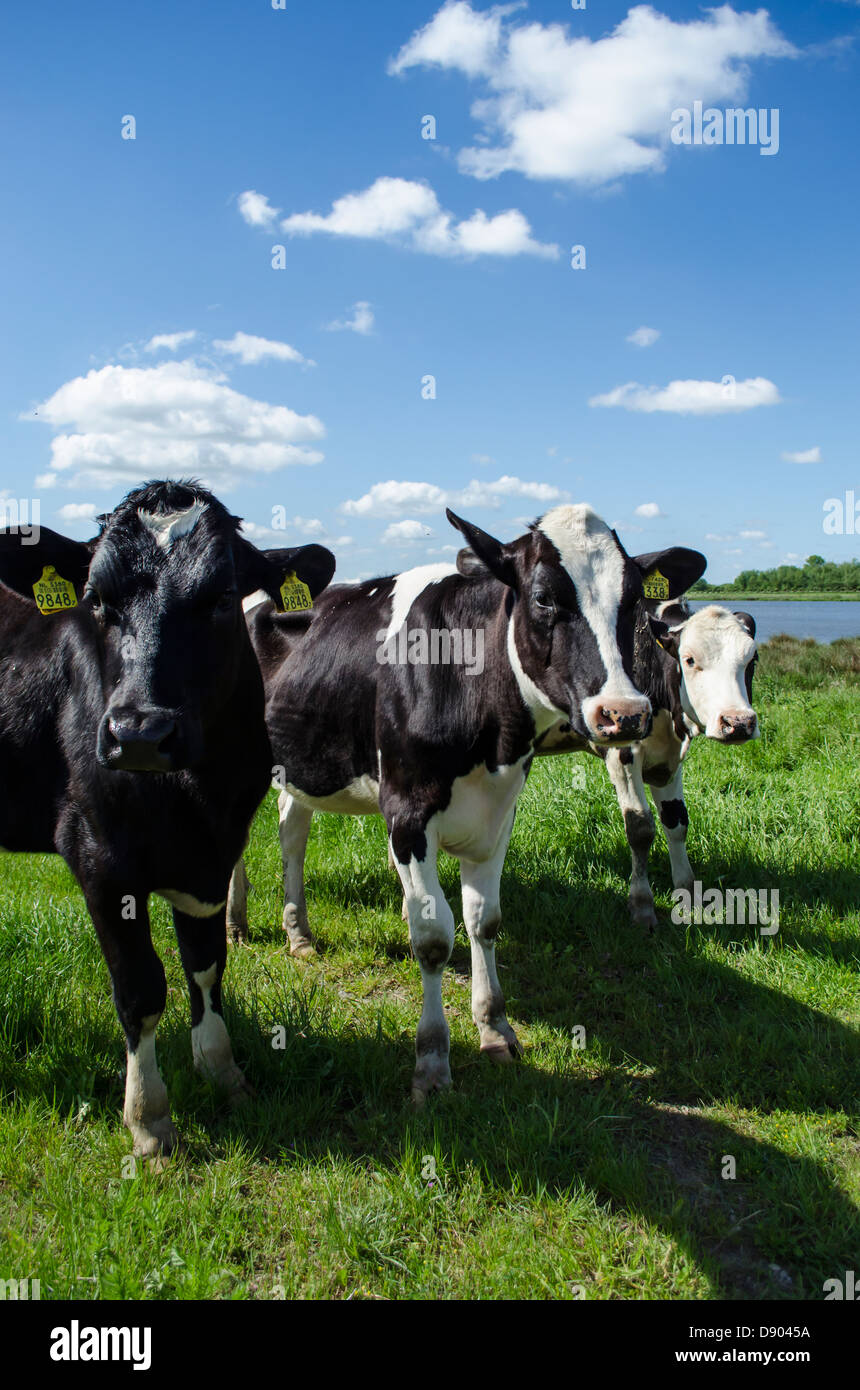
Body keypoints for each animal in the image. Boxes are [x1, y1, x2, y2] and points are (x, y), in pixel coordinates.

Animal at [0, 480, 334, 1155]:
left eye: (223, 597)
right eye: (96, 600)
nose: (140, 735)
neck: (193, 797)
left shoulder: (212, 857)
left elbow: (205, 967)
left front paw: (223, 1072)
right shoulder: (100, 864)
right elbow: (140, 991)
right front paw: (150, 1121)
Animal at [227, 504, 705, 1101]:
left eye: (634, 598)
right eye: (543, 598)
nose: (624, 713)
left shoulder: (499, 812)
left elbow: (485, 921)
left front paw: (496, 1028)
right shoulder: (408, 815)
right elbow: (433, 938)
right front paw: (432, 1062)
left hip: (302, 766)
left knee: (292, 833)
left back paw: (299, 933)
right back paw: (235, 923)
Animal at [535, 598, 759, 926]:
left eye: (752, 659)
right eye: (690, 659)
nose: (738, 723)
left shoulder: (669, 760)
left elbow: (677, 822)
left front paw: (688, 895)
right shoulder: (622, 754)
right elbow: (640, 828)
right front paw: (642, 905)